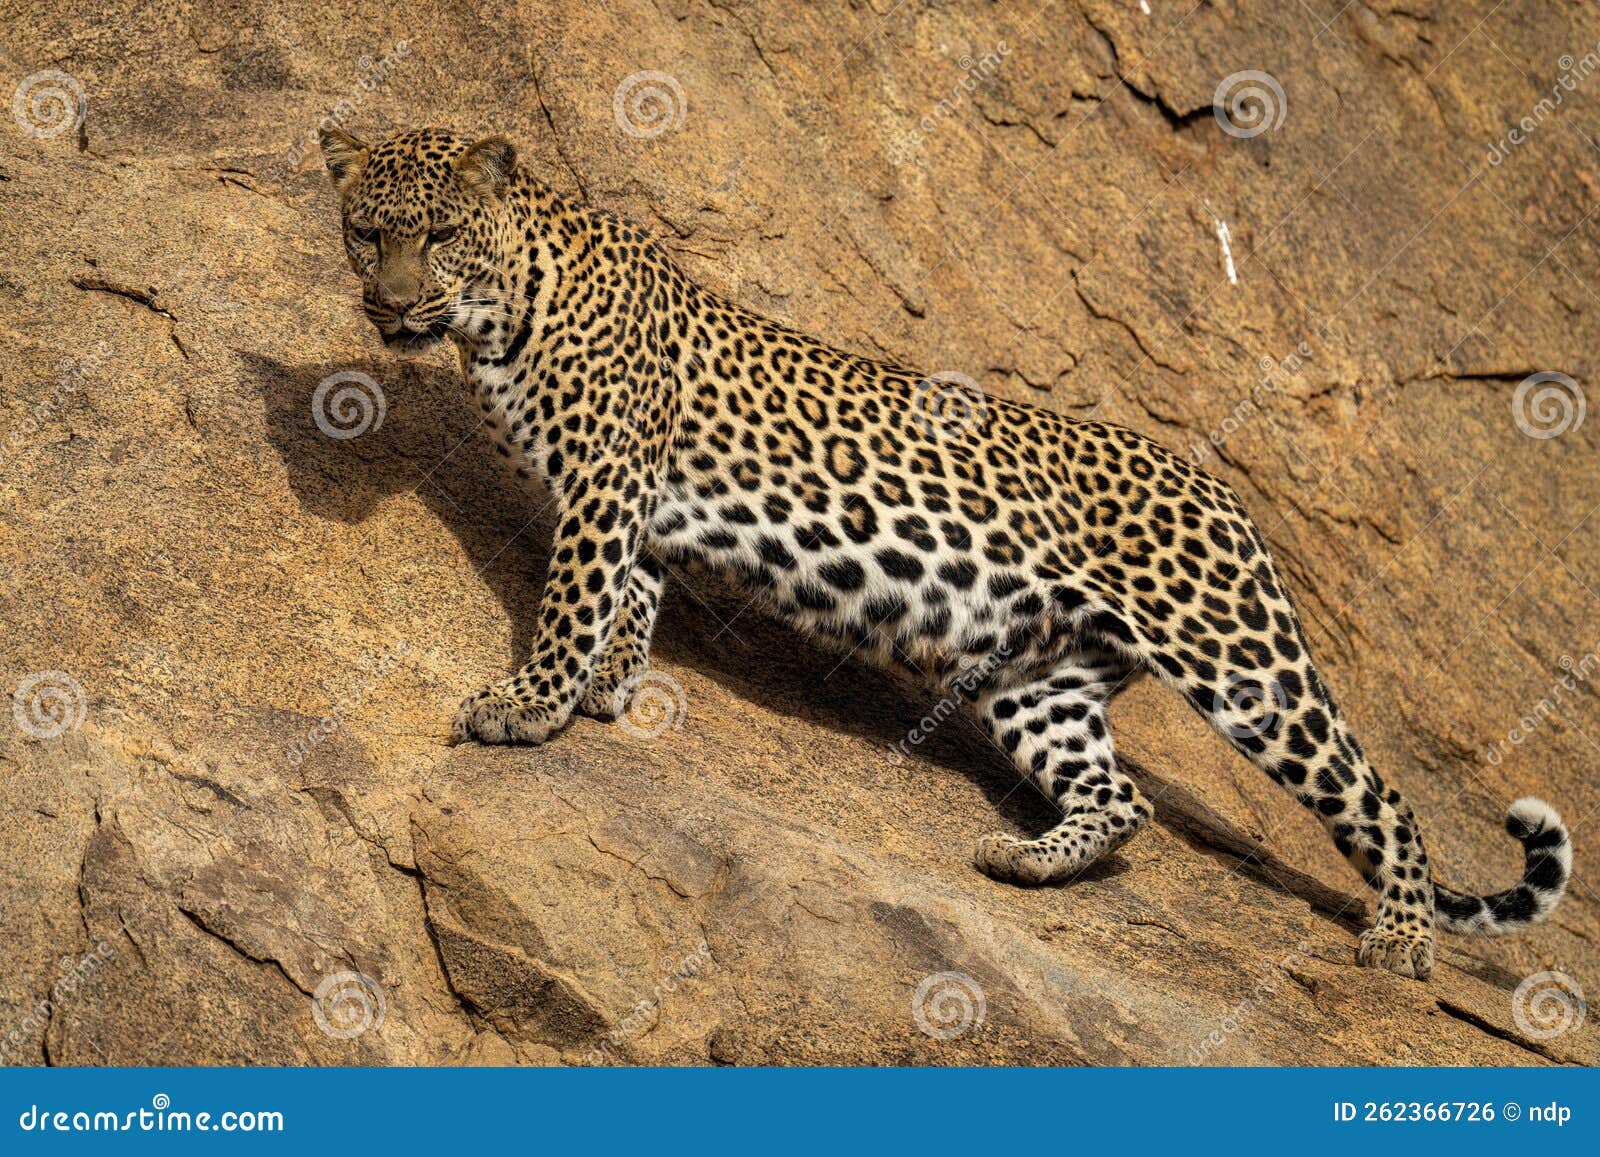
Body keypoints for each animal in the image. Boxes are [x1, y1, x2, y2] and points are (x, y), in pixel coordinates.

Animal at [317, 126, 1571, 981]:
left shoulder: (603, 480)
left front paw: (524, 706)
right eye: (365, 231)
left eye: (437, 233)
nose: (384, 306)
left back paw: (1399, 939)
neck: (503, 312)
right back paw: (1032, 860)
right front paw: (605, 693)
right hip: (1038, 677)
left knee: (1380, 794)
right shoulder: (629, 500)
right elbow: (628, 599)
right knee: (1124, 798)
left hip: (1236, 656)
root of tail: (1226, 492)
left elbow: (574, 599)